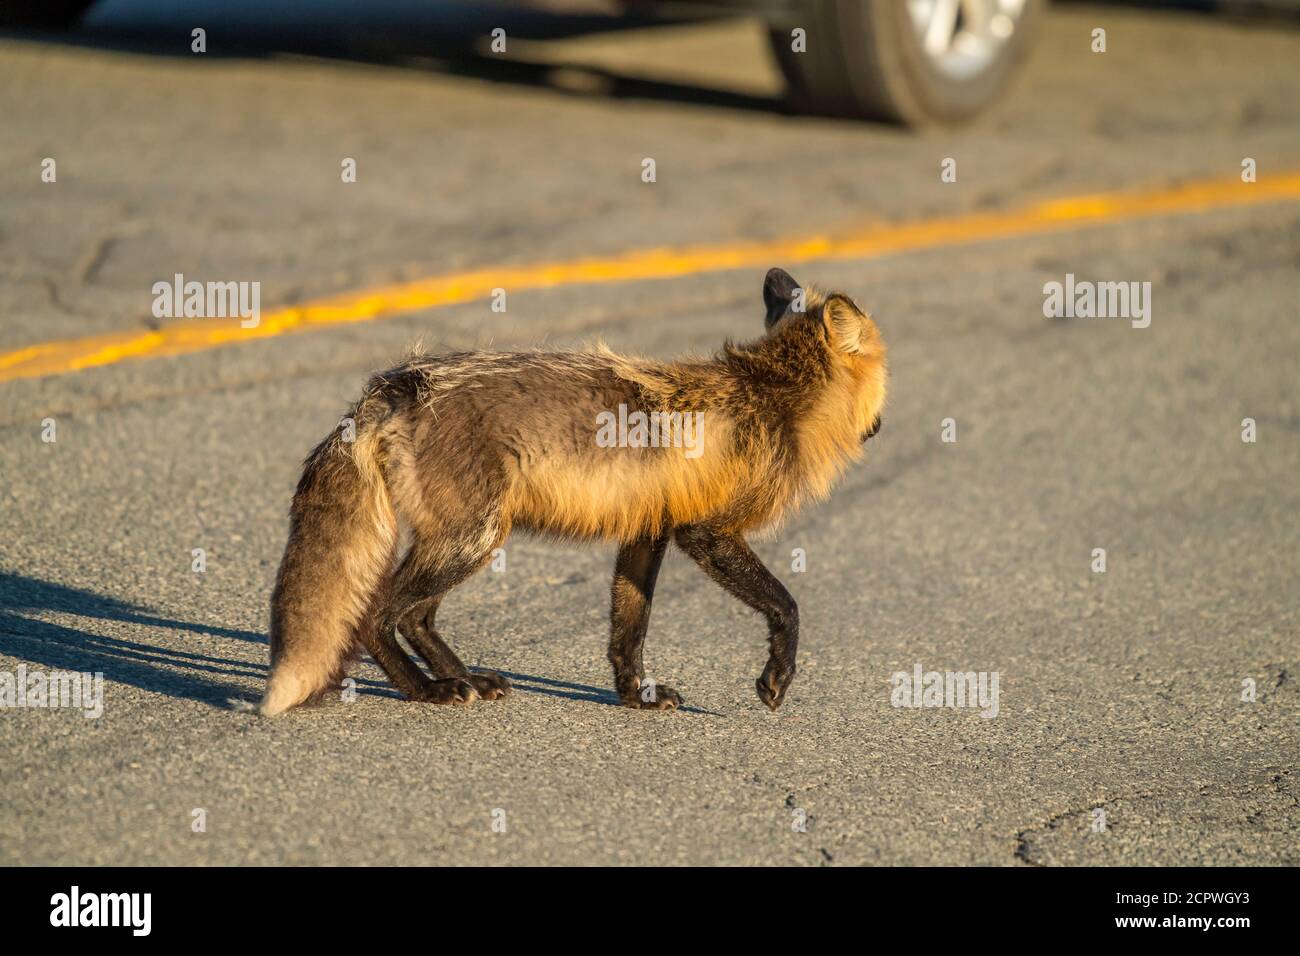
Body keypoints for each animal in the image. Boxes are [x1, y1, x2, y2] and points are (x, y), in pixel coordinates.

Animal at [258, 268, 887, 716]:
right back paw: (426, 689)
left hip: (461, 540)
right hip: (474, 538)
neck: (771, 397)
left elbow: (628, 631)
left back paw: (462, 678)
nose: (881, 426)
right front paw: (776, 677)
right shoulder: (706, 530)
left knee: (415, 618)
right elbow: (786, 605)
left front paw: (637, 697)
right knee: (377, 616)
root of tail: (397, 382)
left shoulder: (647, 532)